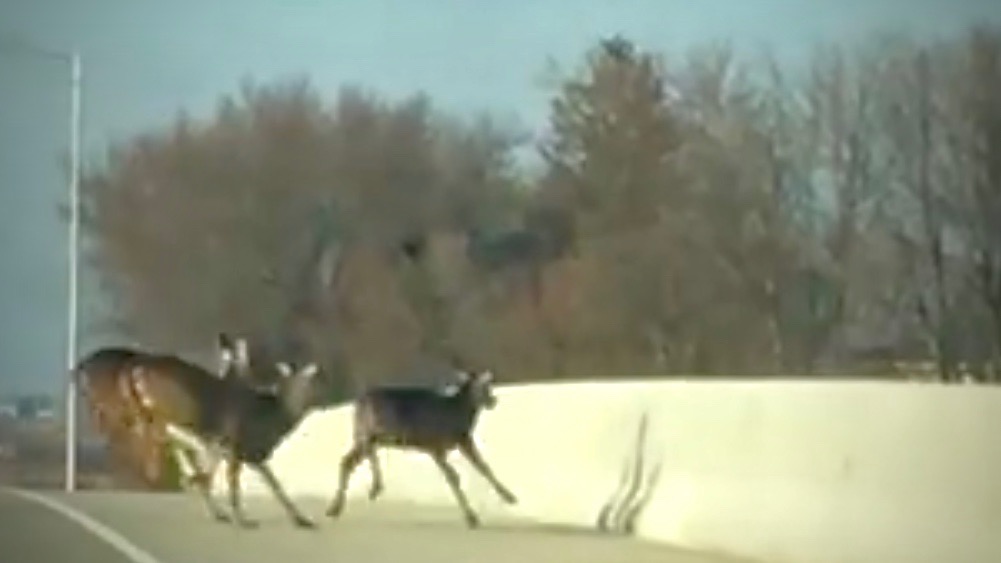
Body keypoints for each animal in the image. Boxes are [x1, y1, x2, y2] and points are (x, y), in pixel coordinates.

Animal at [324, 368, 517, 528]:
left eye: (488, 386)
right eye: (480, 386)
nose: (493, 401)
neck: (458, 413)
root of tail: (359, 403)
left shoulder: (462, 441)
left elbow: (484, 467)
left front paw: (510, 498)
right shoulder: (434, 446)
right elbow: (454, 478)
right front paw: (472, 518)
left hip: (366, 436)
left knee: (348, 461)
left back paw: (335, 508)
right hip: (376, 430)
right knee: (365, 451)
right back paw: (374, 488)